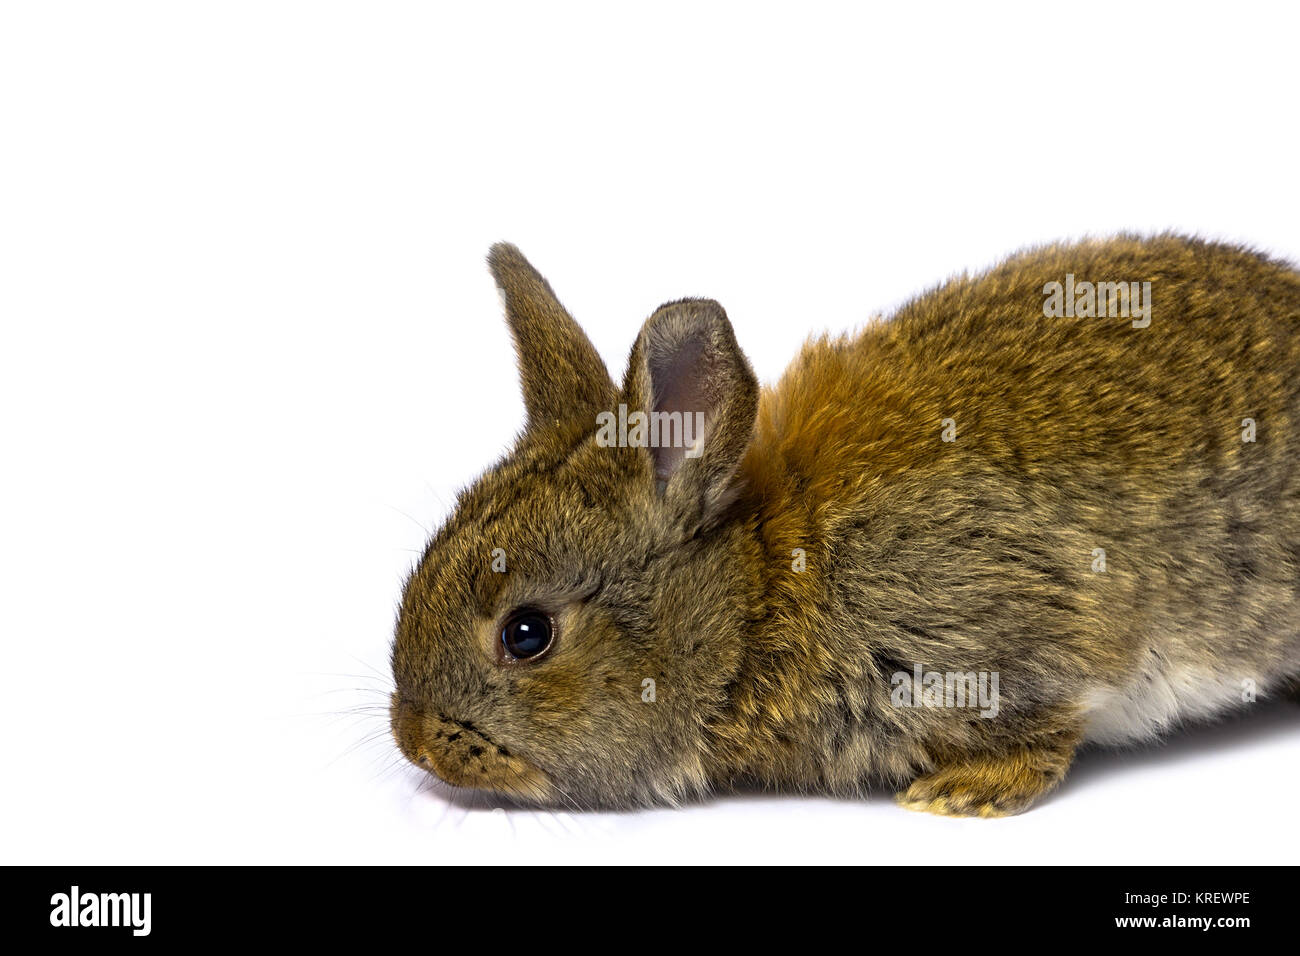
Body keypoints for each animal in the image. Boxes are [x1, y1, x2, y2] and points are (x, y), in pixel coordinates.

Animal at [389, 235, 1300, 816]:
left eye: (527, 633)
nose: (413, 743)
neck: (757, 598)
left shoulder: (1010, 626)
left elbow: (1050, 719)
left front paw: (964, 795)